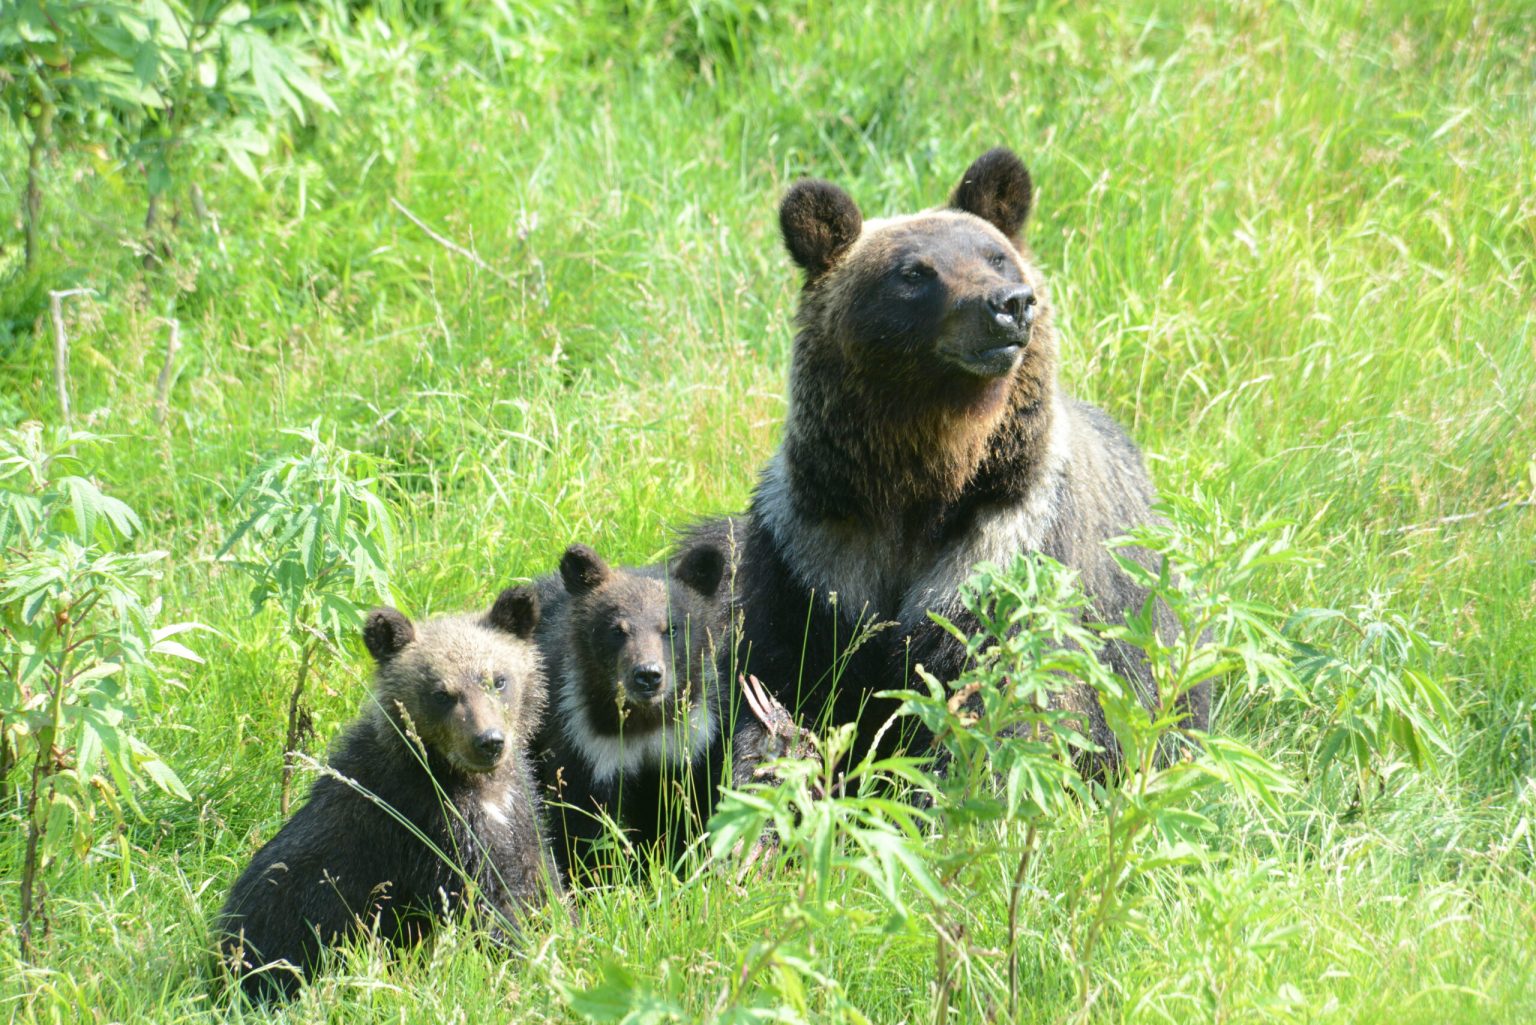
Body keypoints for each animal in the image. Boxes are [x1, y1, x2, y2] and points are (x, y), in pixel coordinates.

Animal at [215, 586, 557, 1002]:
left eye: (497, 679)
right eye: (442, 693)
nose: (489, 741)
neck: (470, 782)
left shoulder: (519, 809)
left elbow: (541, 875)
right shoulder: (427, 827)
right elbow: (484, 900)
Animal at [532, 540, 729, 880]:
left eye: (671, 628)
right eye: (617, 629)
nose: (648, 675)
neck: (643, 722)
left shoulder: (686, 743)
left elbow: (682, 808)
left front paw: (676, 863)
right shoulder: (587, 746)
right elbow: (584, 820)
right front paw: (597, 876)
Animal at [697, 146, 1208, 774]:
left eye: (996, 257)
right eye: (914, 273)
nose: (1009, 306)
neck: (924, 481)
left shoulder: (1003, 553)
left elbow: (991, 707)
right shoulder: (812, 558)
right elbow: (780, 687)